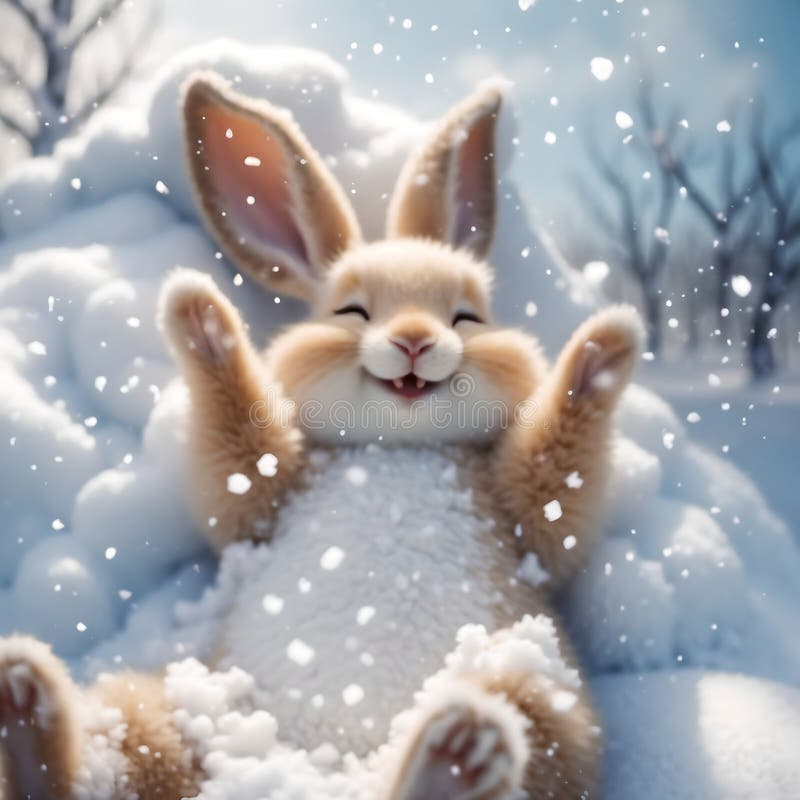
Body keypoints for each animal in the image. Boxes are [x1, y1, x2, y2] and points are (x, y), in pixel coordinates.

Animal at [0, 73, 643, 800]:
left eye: (468, 316)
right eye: (351, 310)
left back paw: (458, 753)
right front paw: (201, 319)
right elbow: (234, 469)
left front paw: (605, 348)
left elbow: (556, 500)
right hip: (166, 712)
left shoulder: (515, 517)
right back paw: (26, 708)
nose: (414, 339)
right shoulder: (270, 498)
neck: (396, 449)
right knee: (115, 756)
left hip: (541, 698)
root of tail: (310, 780)